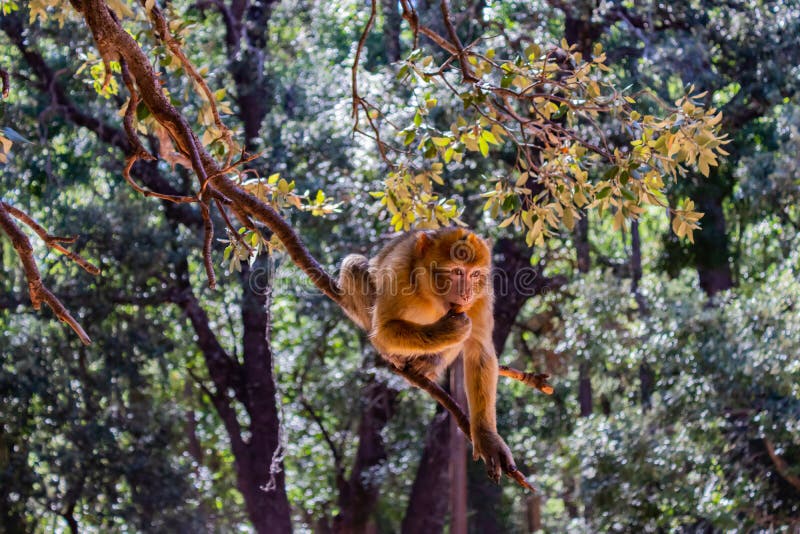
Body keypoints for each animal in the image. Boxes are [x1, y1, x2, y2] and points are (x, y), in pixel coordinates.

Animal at [339, 227, 515, 481]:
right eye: (457, 271)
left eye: (474, 275)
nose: (466, 295)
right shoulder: (399, 271)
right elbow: (382, 330)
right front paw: (448, 330)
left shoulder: (482, 294)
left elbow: (479, 350)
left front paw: (487, 437)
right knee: (354, 264)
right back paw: (397, 357)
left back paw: (430, 363)